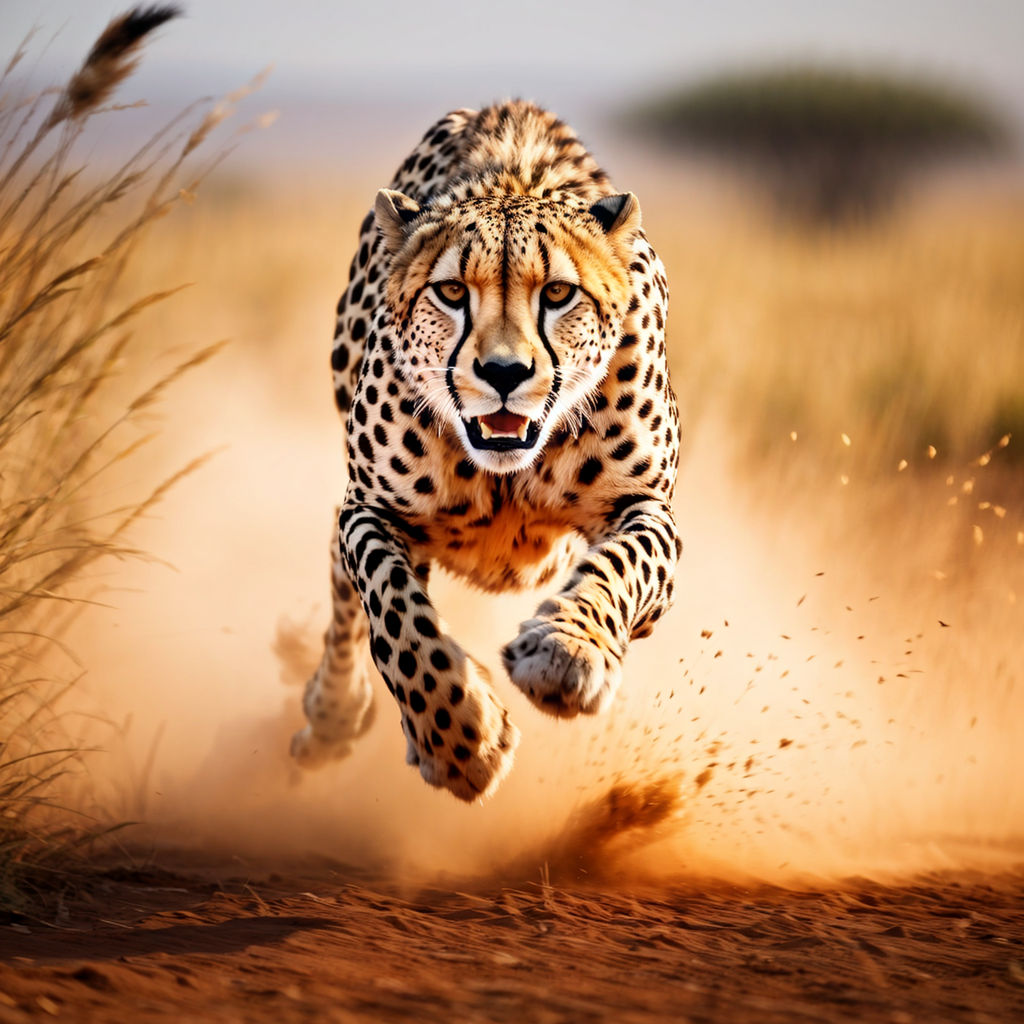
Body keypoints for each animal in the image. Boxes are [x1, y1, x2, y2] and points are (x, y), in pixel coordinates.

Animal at [290, 100, 682, 802]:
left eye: (557, 294)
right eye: (451, 293)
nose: (504, 372)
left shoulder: (646, 505)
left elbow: (622, 568)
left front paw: (566, 651)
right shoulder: (372, 510)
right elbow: (392, 613)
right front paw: (457, 736)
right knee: (341, 587)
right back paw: (332, 715)